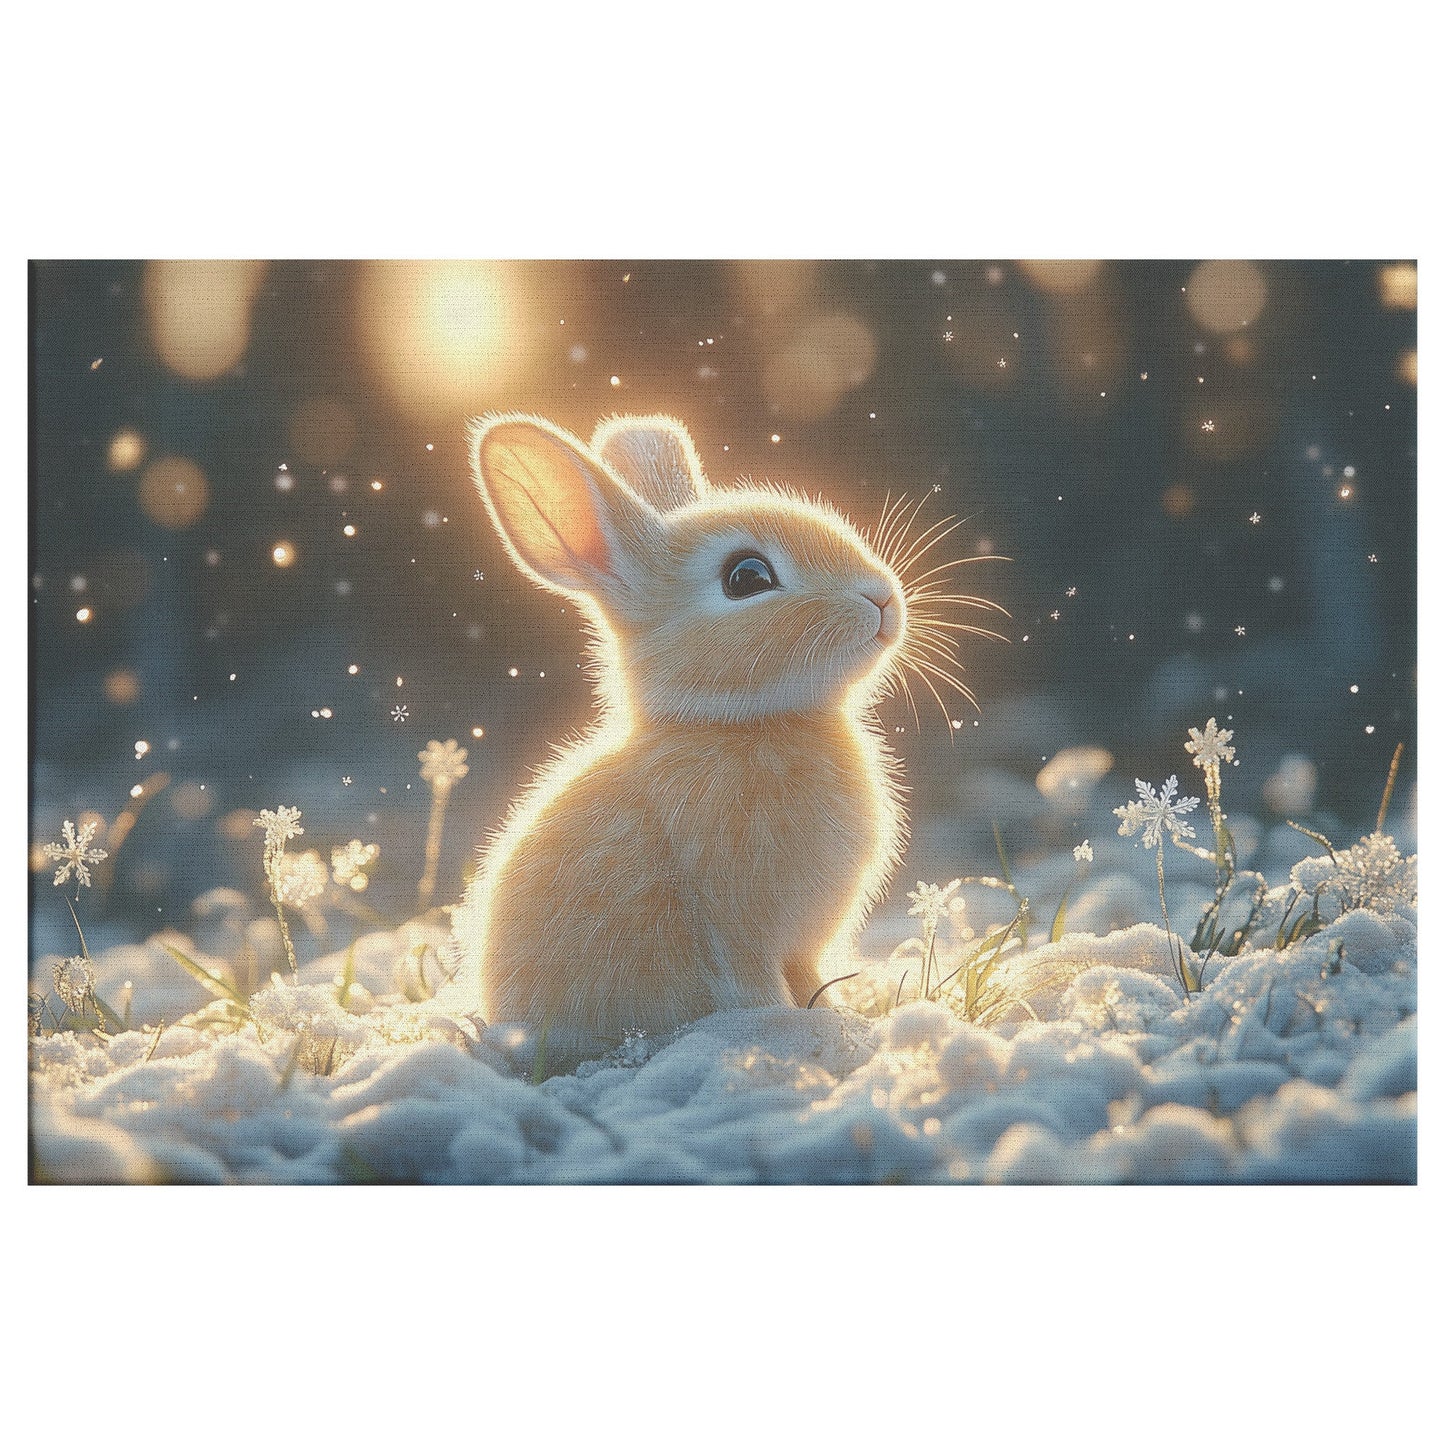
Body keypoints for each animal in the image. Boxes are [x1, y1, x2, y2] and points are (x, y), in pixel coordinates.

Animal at [451, 411, 979, 1074]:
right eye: (747, 577)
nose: (881, 597)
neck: (740, 723)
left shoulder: (798, 946)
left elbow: (810, 981)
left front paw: (843, 1022)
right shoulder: (735, 922)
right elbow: (756, 986)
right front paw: (793, 1033)